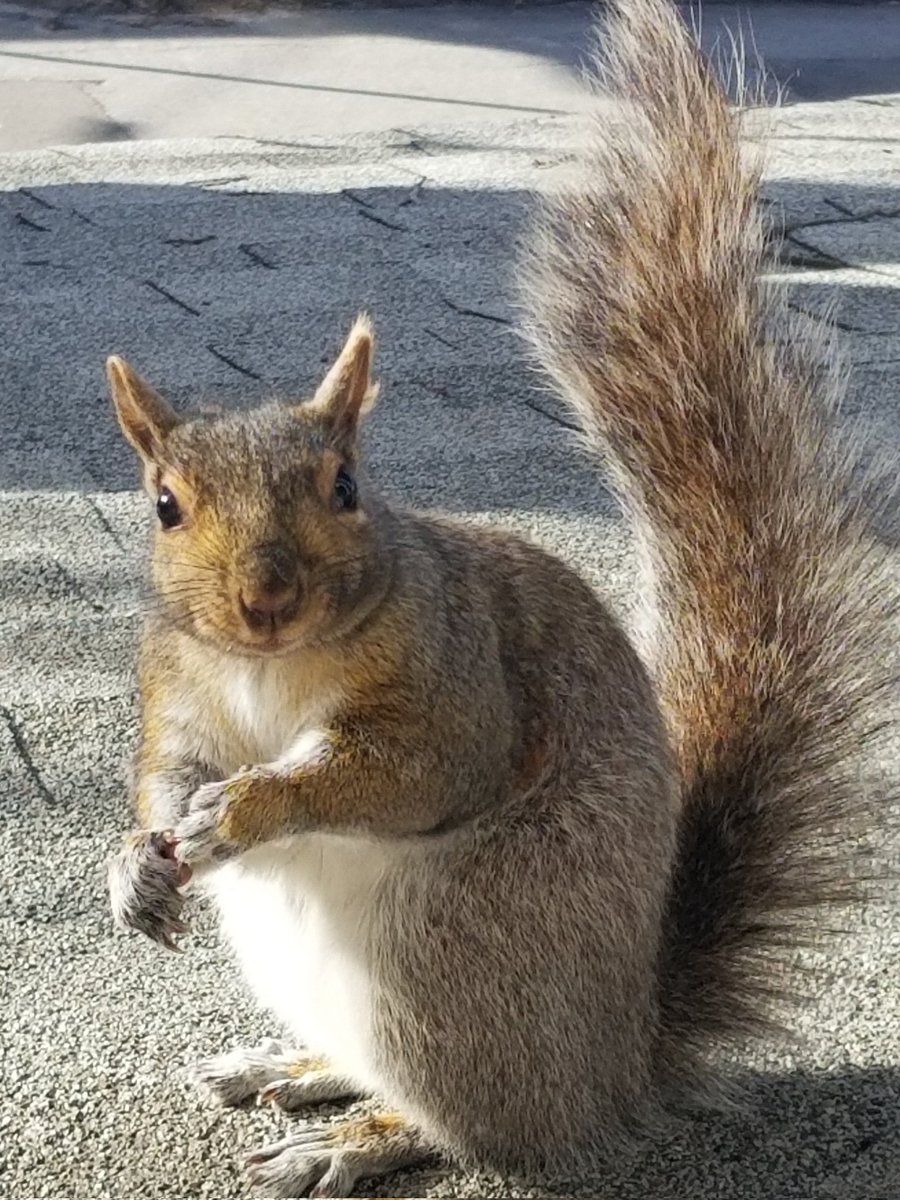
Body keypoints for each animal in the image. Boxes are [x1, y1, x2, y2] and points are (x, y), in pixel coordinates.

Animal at [106, 0, 899, 1196]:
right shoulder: (181, 689)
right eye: (162, 506)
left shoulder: (460, 683)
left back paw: (358, 1138)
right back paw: (293, 1065)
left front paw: (249, 809)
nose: (264, 599)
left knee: (473, 1123)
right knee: (379, 1067)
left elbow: (405, 771)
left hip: (450, 958)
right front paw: (133, 868)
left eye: (347, 487)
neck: (270, 670)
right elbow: (165, 773)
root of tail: (617, 1064)